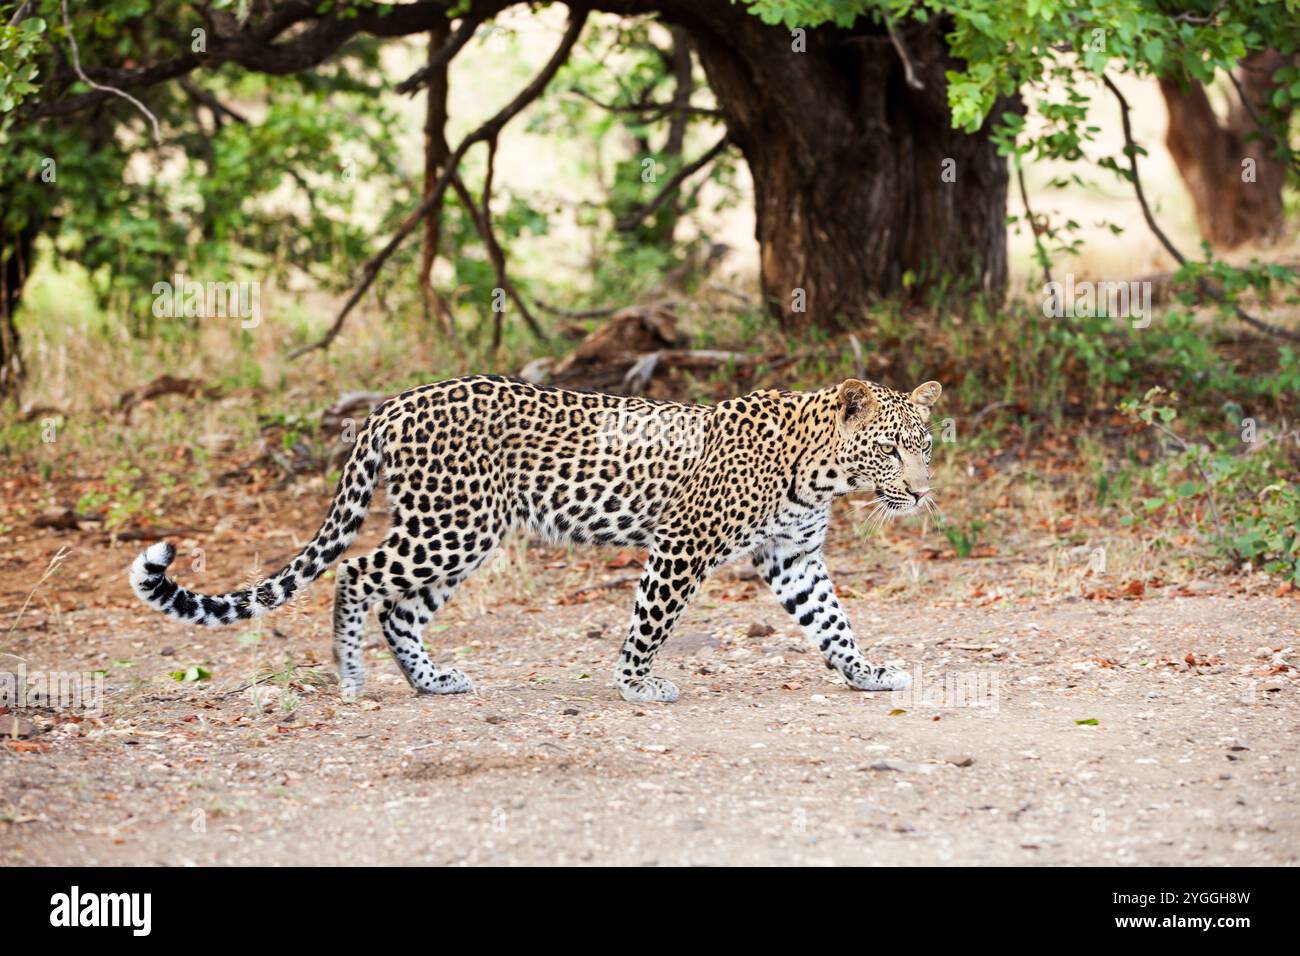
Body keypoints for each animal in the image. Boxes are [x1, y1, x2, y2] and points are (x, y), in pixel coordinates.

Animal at [129, 374, 941, 703]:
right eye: (891, 448)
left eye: (925, 444)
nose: (922, 490)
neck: (822, 472)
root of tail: (392, 404)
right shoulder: (682, 544)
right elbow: (650, 621)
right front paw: (637, 685)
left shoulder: (793, 557)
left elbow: (833, 623)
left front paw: (867, 674)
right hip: (449, 528)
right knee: (356, 574)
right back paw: (352, 677)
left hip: (462, 535)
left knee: (400, 609)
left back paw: (431, 682)